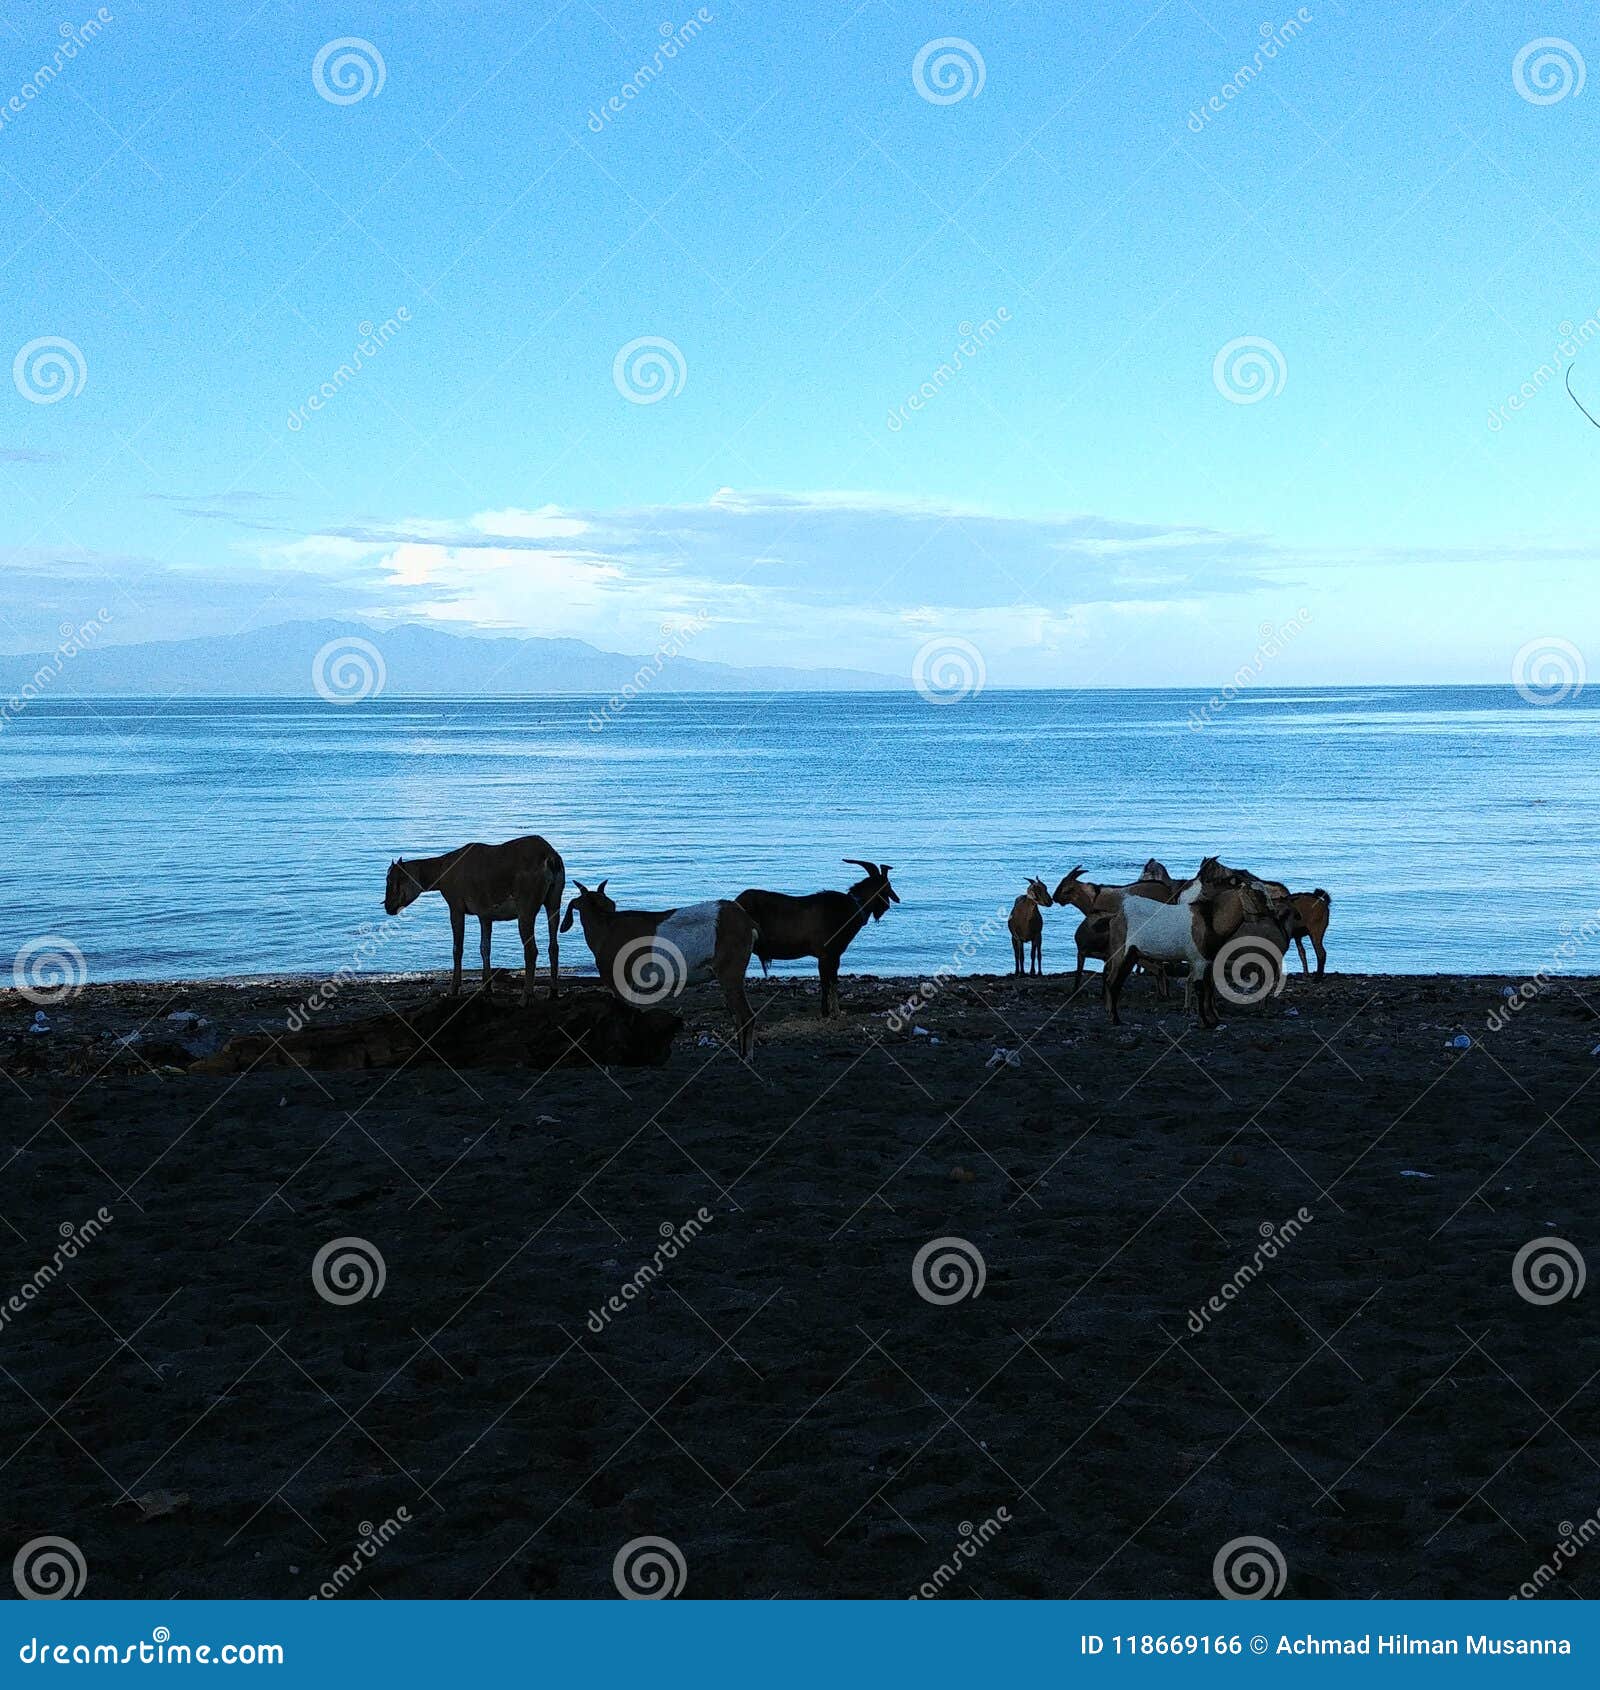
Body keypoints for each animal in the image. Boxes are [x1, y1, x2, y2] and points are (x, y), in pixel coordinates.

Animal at [383, 834, 564, 1004]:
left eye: (393, 881)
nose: (388, 906)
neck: (443, 871)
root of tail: (550, 857)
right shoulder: (485, 914)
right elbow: (485, 948)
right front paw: (486, 986)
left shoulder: (455, 905)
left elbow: (457, 948)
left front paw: (453, 988)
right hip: (554, 900)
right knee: (553, 945)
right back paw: (553, 991)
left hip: (526, 906)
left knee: (531, 950)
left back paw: (526, 997)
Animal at [559, 880, 758, 1058]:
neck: (605, 927)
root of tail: (746, 920)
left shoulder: (619, 983)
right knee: (737, 1014)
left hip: (730, 971)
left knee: (745, 1014)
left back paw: (746, 1057)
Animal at [735, 860, 899, 1016]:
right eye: (888, 885)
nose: (891, 903)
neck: (851, 909)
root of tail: (737, 902)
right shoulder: (826, 954)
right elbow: (826, 983)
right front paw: (826, 1012)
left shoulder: (834, 955)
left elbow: (833, 982)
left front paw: (836, 1011)